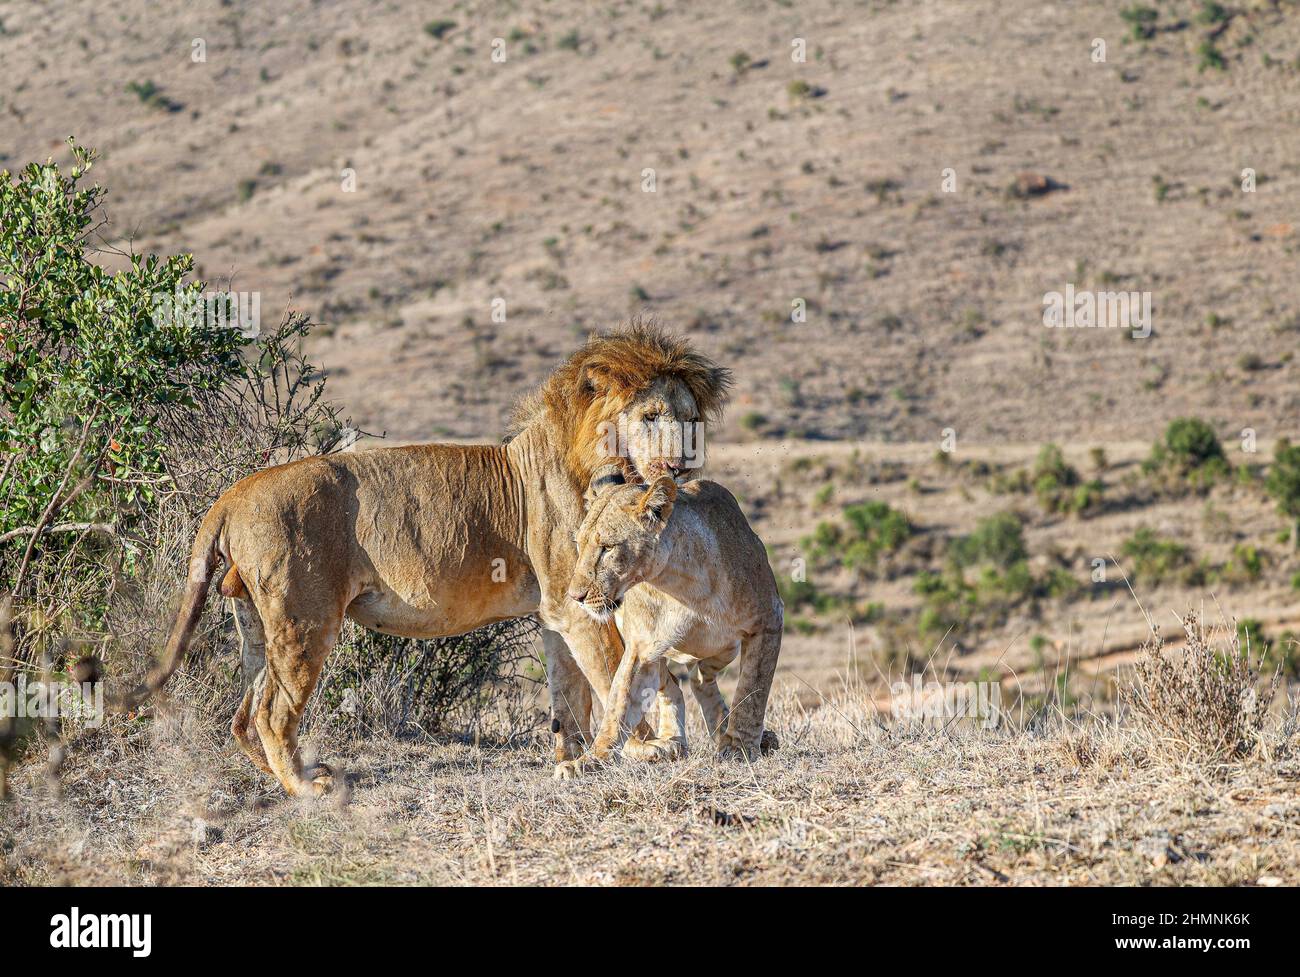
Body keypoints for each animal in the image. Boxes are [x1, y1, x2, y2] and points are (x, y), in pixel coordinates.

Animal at [124, 321, 731, 796]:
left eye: (689, 419)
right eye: (650, 415)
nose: (680, 466)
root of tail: (234, 492)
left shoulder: (556, 609)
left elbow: (571, 692)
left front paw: (573, 758)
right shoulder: (575, 604)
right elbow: (615, 675)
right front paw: (645, 750)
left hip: (254, 617)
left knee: (244, 714)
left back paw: (285, 774)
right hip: (304, 618)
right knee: (273, 711)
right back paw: (304, 786)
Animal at [554, 468, 782, 779]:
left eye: (607, 548)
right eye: (579, 545)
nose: (575, 597)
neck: (681, 585)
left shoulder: (768, 619)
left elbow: (752, 692)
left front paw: (740, 748)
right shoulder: (641, 648)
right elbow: (619, 704)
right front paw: (589, 761)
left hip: (725, 649)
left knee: (701, 677)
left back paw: (730, 733)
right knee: (677, 685)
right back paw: (671, 742)